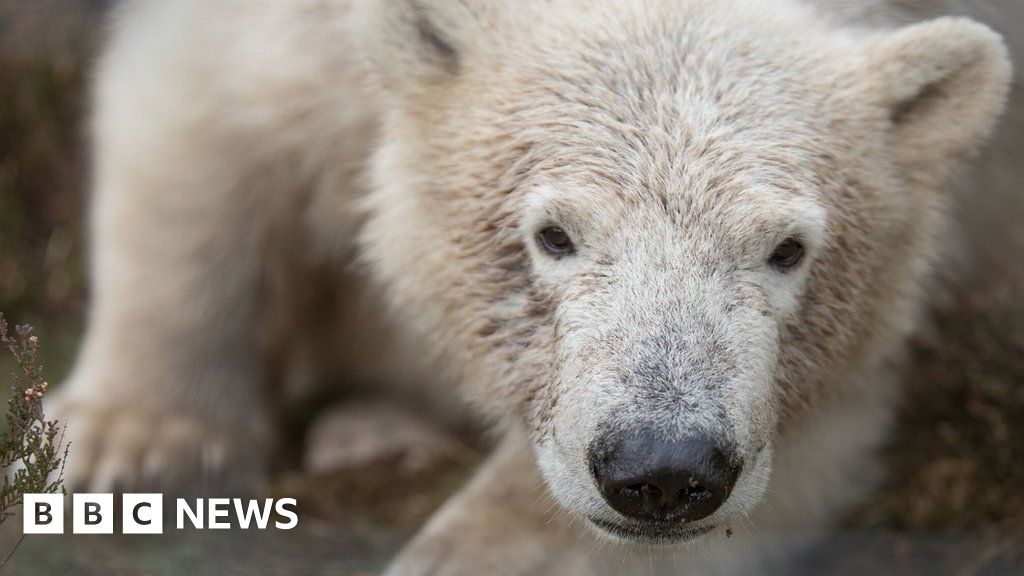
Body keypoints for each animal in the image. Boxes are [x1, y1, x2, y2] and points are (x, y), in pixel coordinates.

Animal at [51, 0, 1015, 574]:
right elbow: (198, 118)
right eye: (553, 234)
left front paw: (482, 551)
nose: (664, 470)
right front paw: (133, 443)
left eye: (788, 250)